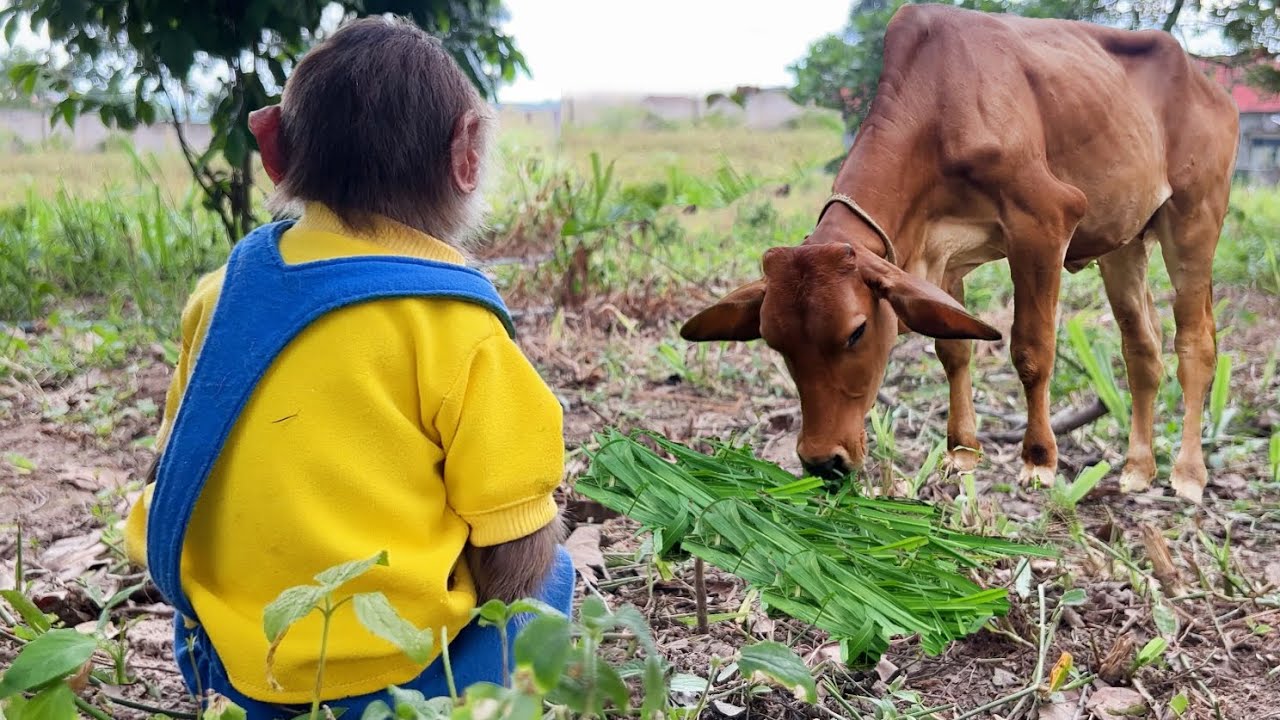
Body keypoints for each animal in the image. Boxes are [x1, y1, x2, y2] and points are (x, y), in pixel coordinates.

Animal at [679, 4, 1239, 503]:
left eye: (856, 331)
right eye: (775, 342)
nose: (823, 462)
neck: (938, 107)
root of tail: (1210, 85)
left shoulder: (1044, 221)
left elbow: (1031, 350)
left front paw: (1038, 460)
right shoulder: (941, 254)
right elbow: (954, 349)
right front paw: (962, 451)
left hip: (1195, 218)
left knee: (1195, 344)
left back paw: (1188, 474)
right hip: (1124, 245)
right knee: (1142, 348)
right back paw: (1138, 468)